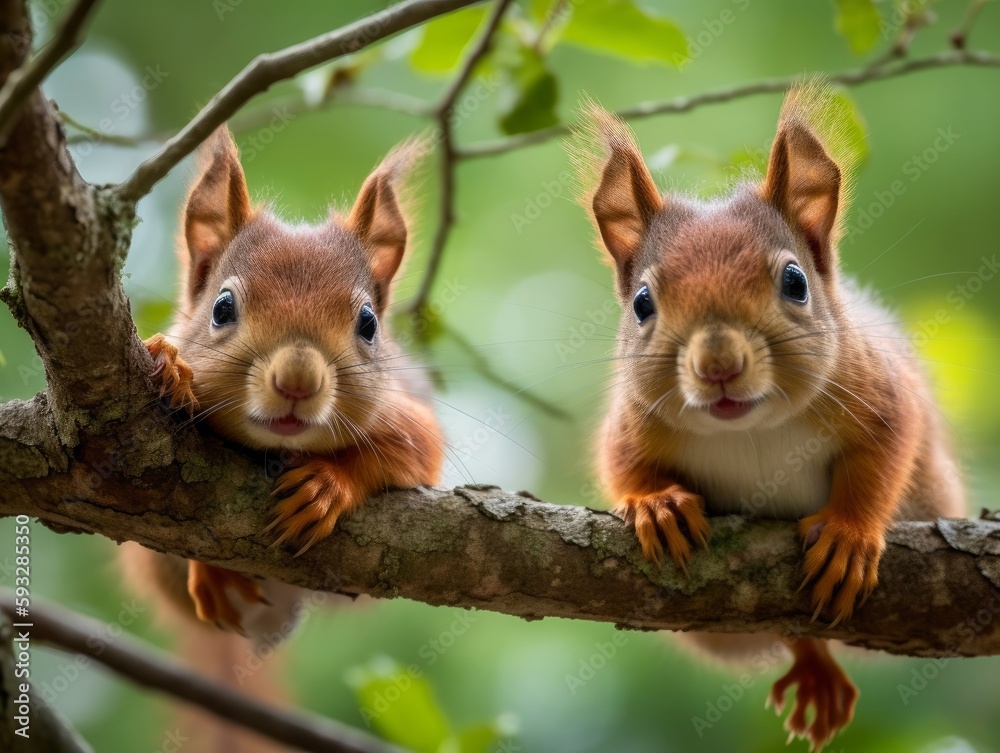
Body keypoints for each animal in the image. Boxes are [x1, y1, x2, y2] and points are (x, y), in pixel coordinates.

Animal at [120, 127, 443, 751]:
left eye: (369, 323)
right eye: (221, 308)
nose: (297, 379)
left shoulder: (414, 421)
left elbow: (407, 454)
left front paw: (326, 486)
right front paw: (173, 368)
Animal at [575, 83, 965, 751]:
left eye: (795, 282)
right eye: (643, 303)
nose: (718, 364)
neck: (750, 428)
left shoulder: (875, 392)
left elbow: (885, 453)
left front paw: (848, 536)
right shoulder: (634, 420)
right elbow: (621, 464)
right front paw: (657, 505)